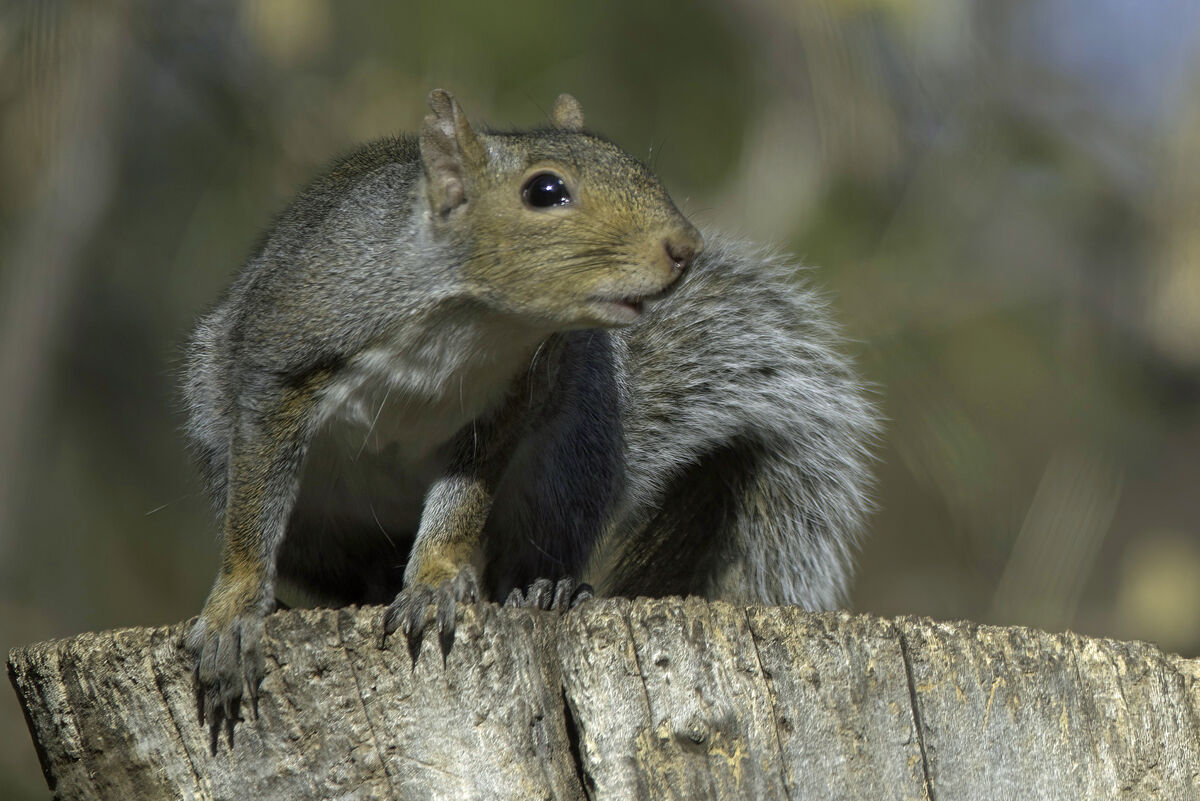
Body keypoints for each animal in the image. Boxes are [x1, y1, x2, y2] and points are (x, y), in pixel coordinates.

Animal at [182, 89, 877, 748]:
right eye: (545, 190)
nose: (685, 249)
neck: (473, 322)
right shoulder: (278, 372)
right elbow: (253, 512)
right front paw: (232, 618)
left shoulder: (506, 409)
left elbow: (463, 501)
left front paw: (435, 580)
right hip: (316, 522)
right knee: (350, 571)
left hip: (567, 462)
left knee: (527, 551)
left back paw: (546, 590)